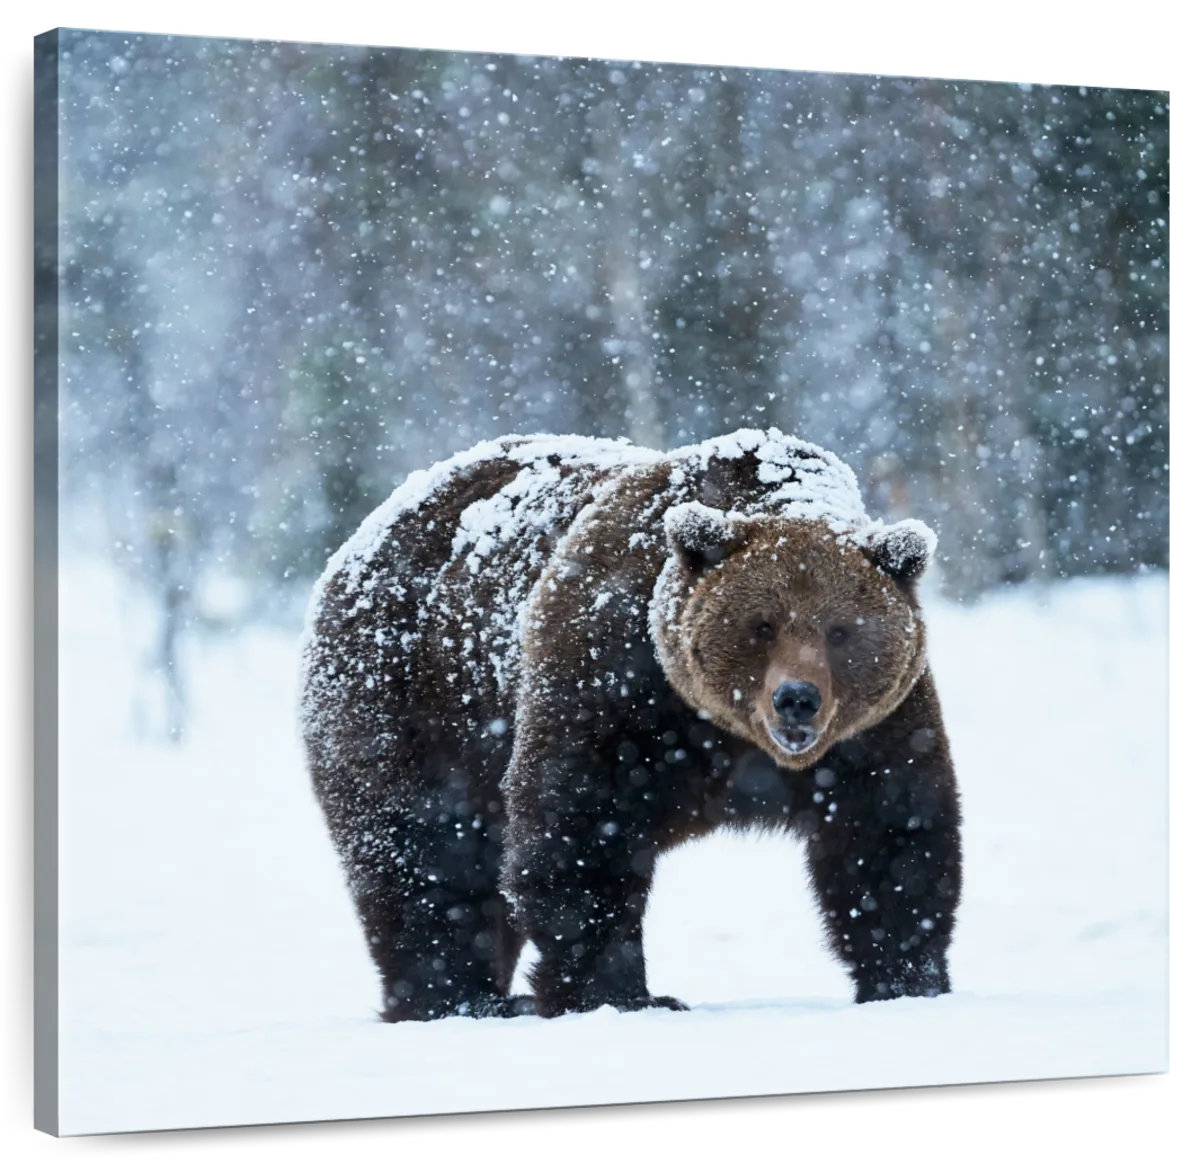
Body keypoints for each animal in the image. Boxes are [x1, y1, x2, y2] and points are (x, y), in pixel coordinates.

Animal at [300, 429, 961, 1021]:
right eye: (763, 625)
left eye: (840, 631)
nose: (796, 699)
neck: (725, 734)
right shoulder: (612, 682)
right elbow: (581, 835)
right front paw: (619, 995)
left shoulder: (875, 731)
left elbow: (892, 838)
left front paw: (908, 981)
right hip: (411, 701)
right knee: (428, 857)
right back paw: (462, 999)